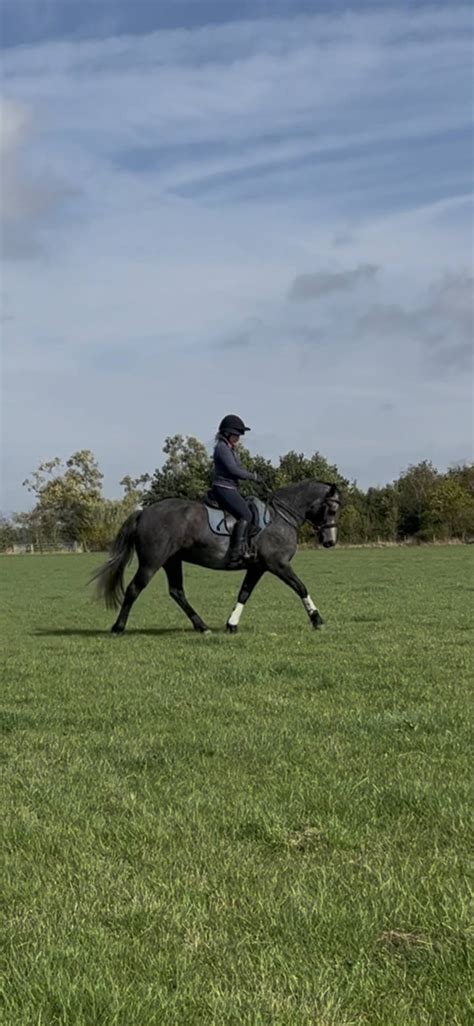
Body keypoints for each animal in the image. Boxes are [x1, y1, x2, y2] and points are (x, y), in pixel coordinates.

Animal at [91, 480, 341, 635]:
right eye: (332, 509)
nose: (330, 541)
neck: (281, 516)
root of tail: (144, 512)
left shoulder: (258, 567)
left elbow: (244, 593)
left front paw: (231, 624)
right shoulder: (277, 564)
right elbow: (301, 587)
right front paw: (317, 619)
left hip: (172, 561)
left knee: (177, 592)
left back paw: (202, 627)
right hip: (151, 562)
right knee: (134, 589)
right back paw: (118, 627)